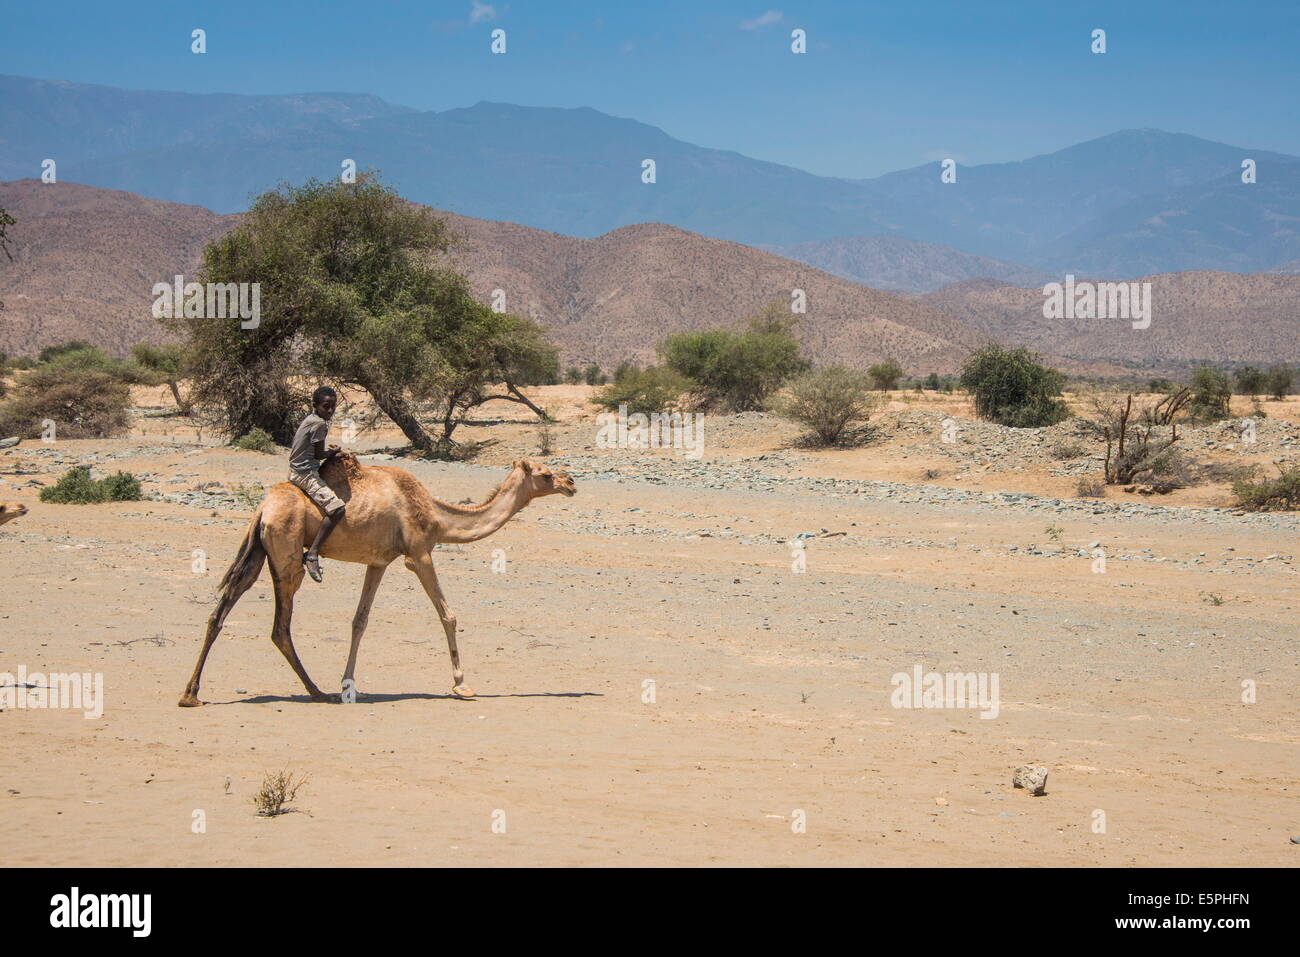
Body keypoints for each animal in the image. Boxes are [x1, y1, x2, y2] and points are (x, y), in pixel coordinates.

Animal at [178, 453, 576, 707]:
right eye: (544, 473)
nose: (571, 481)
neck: (437, 516)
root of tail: (262, 508)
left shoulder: (379, 561)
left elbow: (360, 621)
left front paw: (348, 685)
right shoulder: (419, 554)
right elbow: (447, 615)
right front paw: (462, 685)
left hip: (258, 553)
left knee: (220, 611)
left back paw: (191, 695)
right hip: (287, 557)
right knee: (280, 627)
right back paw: (315, 692)